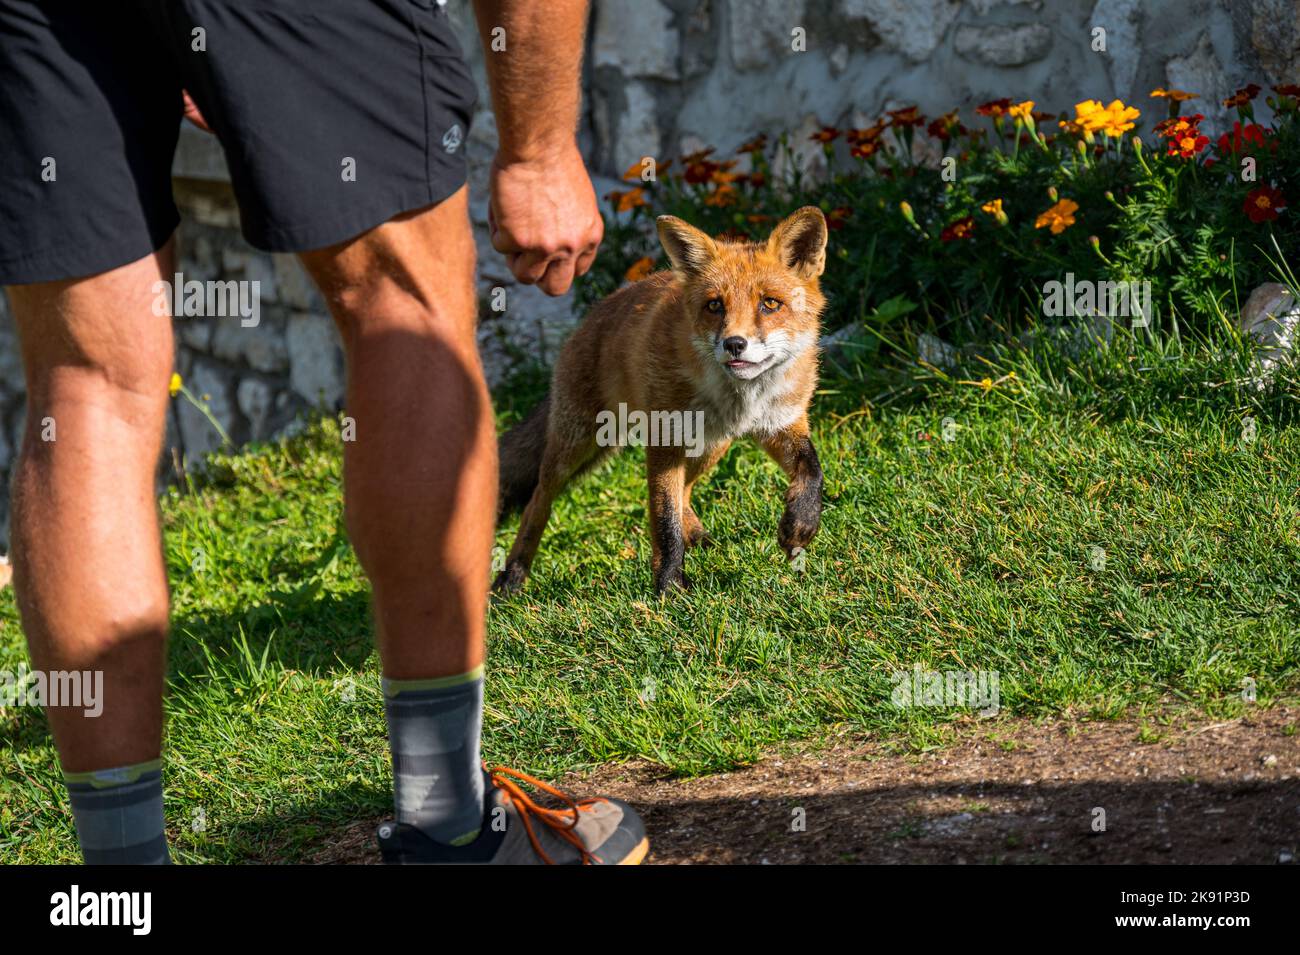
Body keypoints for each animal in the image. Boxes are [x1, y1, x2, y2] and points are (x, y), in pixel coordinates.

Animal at [493, 206, 828, 595]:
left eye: (770, 303)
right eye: (715, 305)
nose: (734, 344)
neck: (742, 398)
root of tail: (591, 316)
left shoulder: (781, 423)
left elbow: (812, 470)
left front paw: (800, 524)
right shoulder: (664, 441)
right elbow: (663, 520)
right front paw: (669, 587)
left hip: (712, 445)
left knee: (685, 489)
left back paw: (698, 537)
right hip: (576, 445)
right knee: (538, 500)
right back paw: (512, 576)